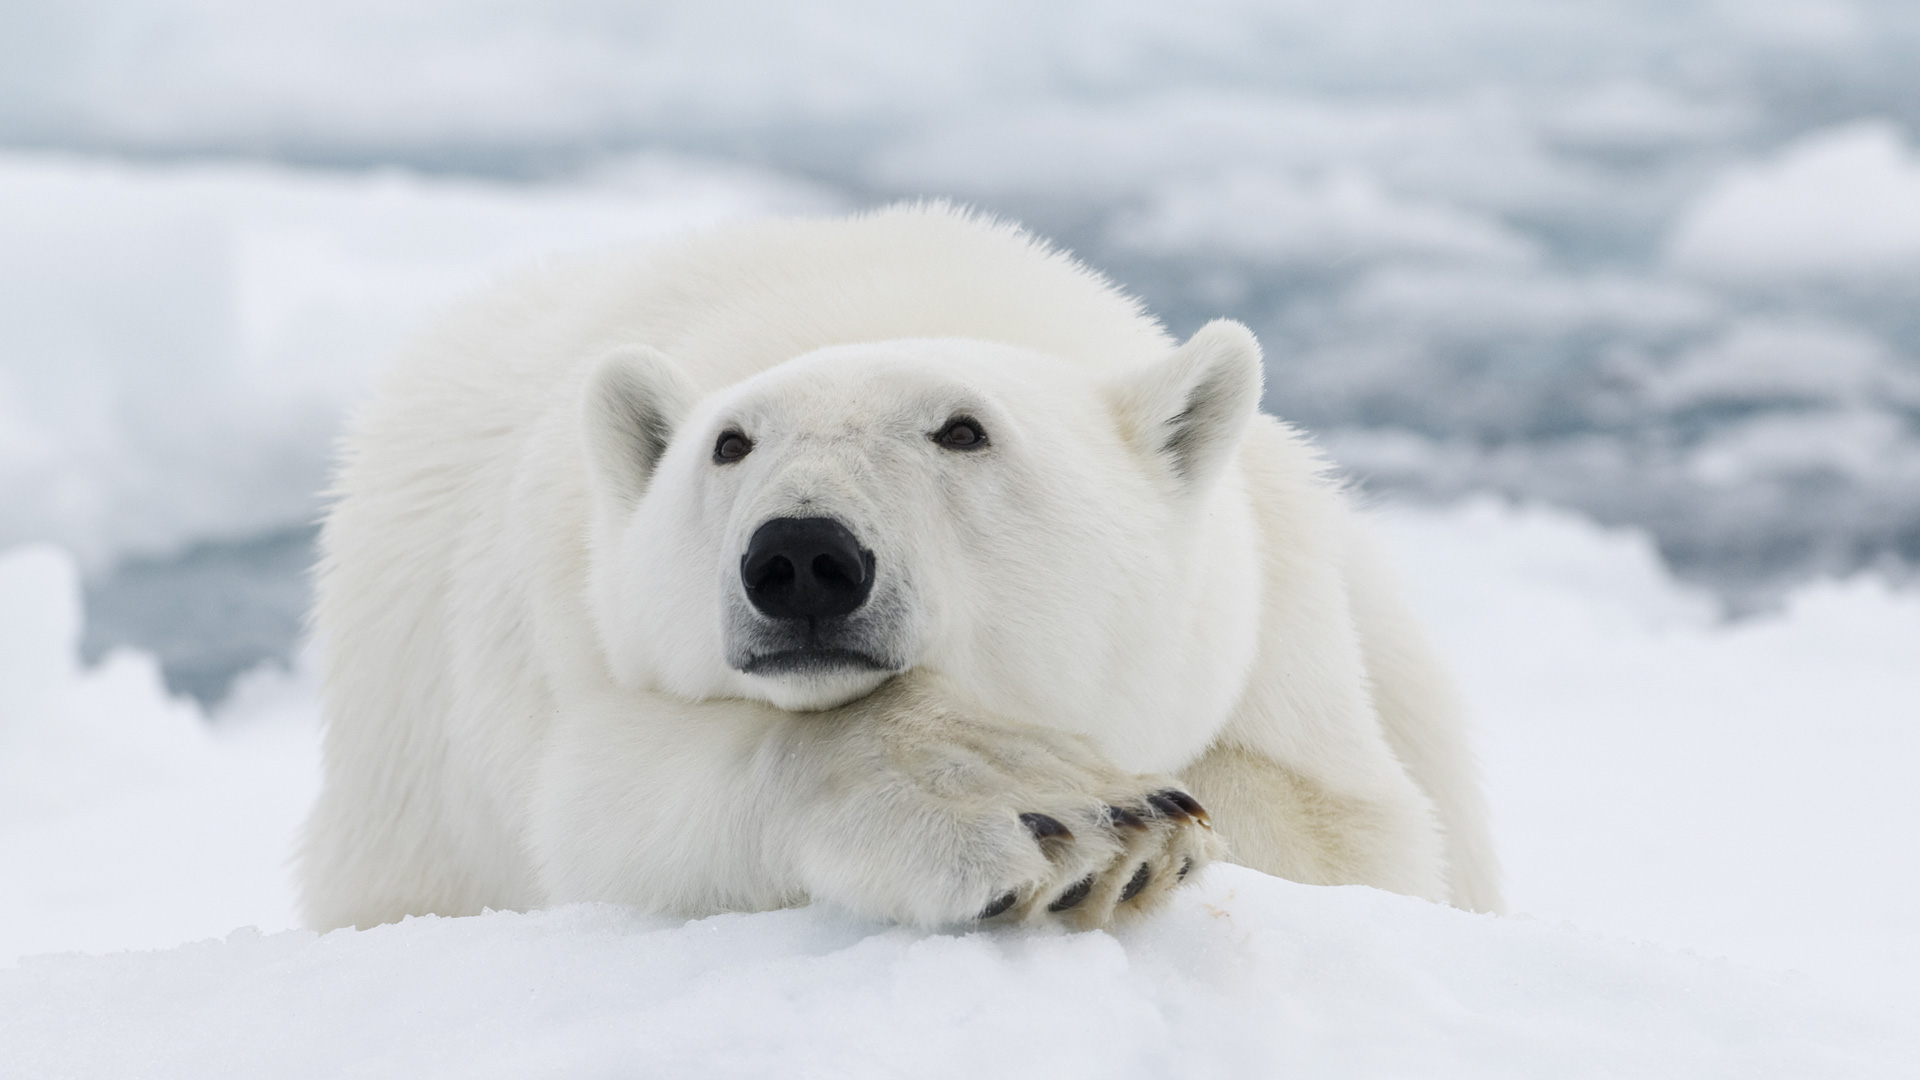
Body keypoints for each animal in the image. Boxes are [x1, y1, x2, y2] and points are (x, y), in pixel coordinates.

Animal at [300, 203, 1501, 932]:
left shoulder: (1279, 635)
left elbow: (1349, 831)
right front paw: (1059, 814)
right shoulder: (567, 642)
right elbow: (611, 798)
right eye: (729, 443)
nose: (802, 557)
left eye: (963, 431)